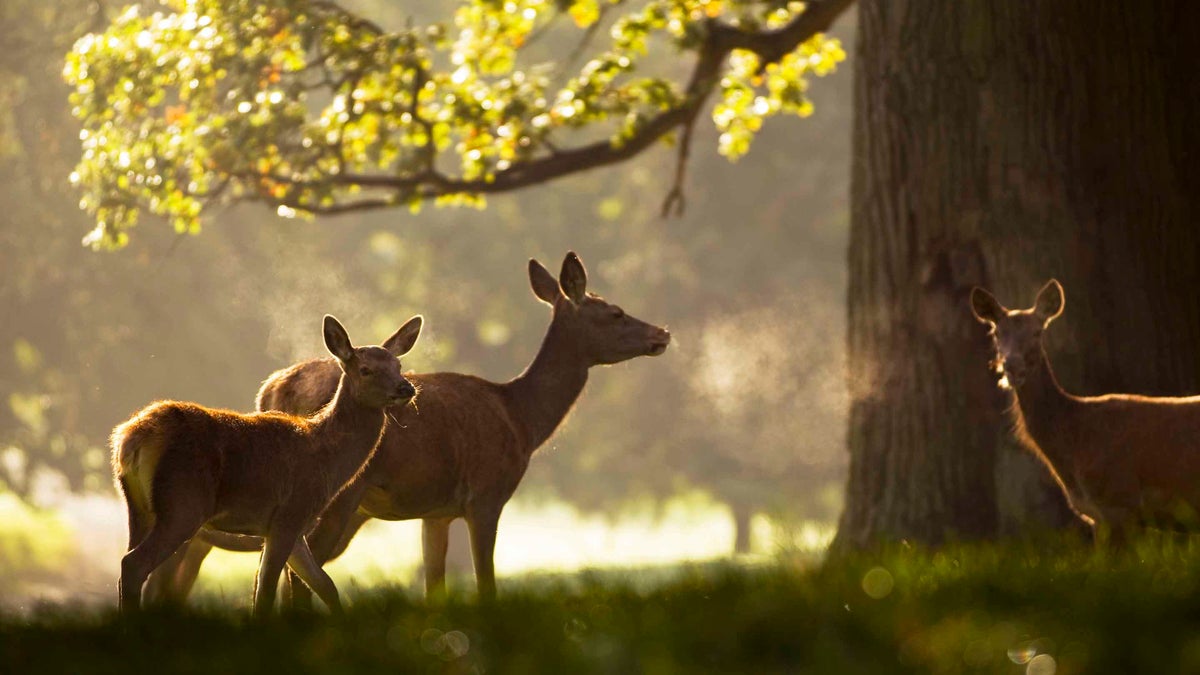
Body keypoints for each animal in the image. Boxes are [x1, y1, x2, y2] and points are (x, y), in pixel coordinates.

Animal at [112, 314, 422, 615]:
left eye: (398, 365)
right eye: (366, 369)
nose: (406, 387)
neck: (328, 461)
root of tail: (130, 438)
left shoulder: (294, 527)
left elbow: (325, 585)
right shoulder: (289, 513)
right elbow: (266, 591)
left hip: (138, 507)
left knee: (129, 561)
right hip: (183, 503)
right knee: (134, 564)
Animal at [144, 251, 671, 605]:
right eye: (615, 312)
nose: (662, 333)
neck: (522, 419)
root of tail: (273, 390)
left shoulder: (435, 512)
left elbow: (435, 586)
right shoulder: (486, 495)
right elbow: (486, 584)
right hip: (338, 499)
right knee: (283, 570)